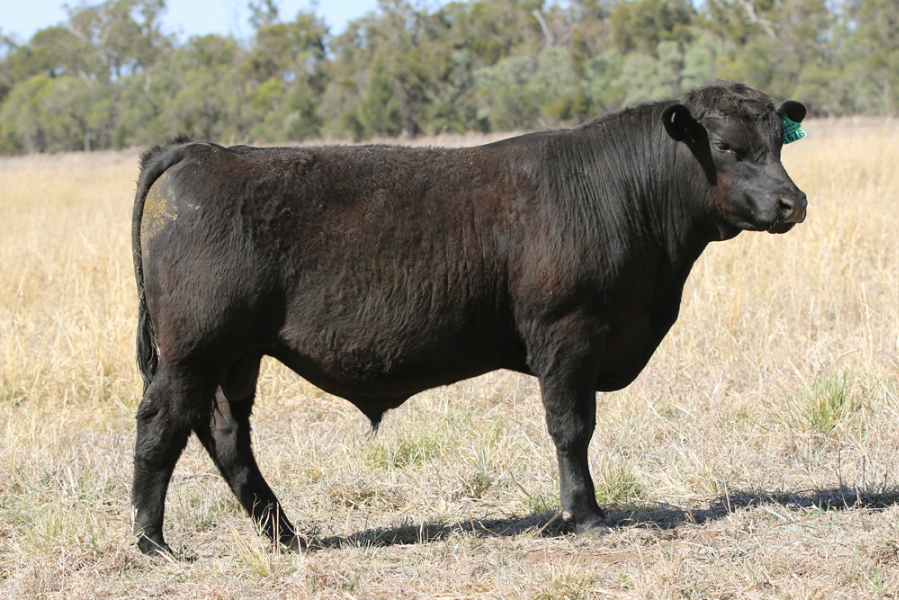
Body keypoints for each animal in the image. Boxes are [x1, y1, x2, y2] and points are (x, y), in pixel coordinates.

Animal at [131, 80, 807, 555]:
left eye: (778, 143)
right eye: (725, 146)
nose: (791, 201)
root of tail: (199, 152)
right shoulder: (567, 334)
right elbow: (572, 427)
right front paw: (583, 516)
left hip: (236, 355)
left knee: (226, 435)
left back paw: (284, 534)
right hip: (193, 349)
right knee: (161, 426)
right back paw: (151, 541)